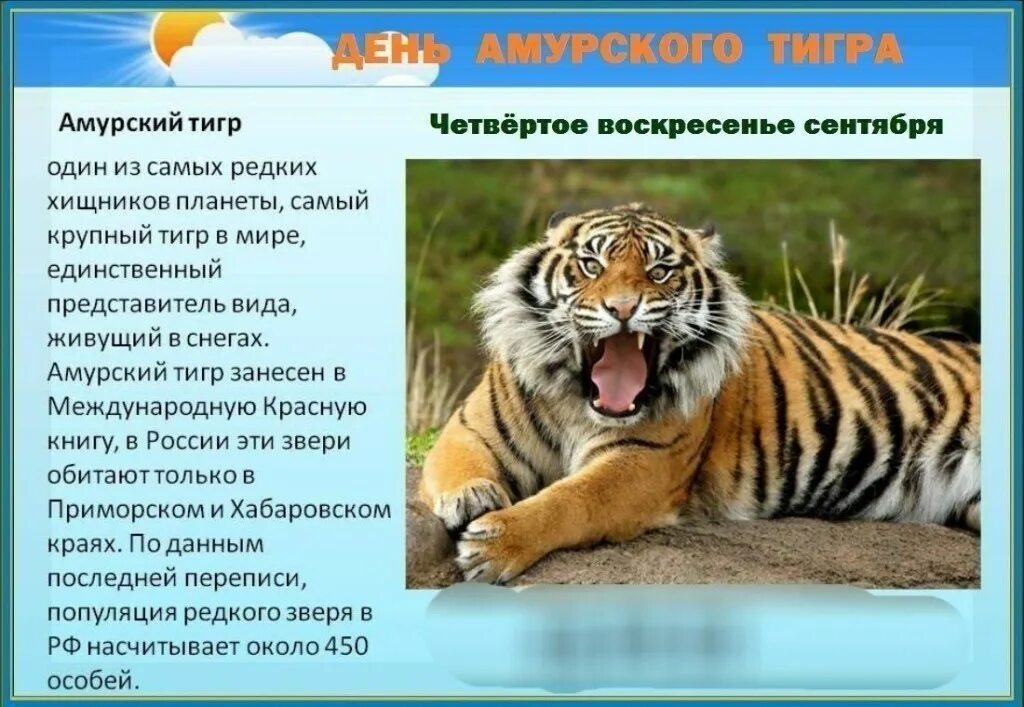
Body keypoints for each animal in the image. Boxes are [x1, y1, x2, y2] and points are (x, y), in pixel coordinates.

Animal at [418, 202, 981, 584]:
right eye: (592, 266)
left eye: (659, 271)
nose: (623, 308)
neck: (577, 401)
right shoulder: (469, 427)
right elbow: (456, 464)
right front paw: (472, 497)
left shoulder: (643, 462)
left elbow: (570, 499)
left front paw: (495, 544)